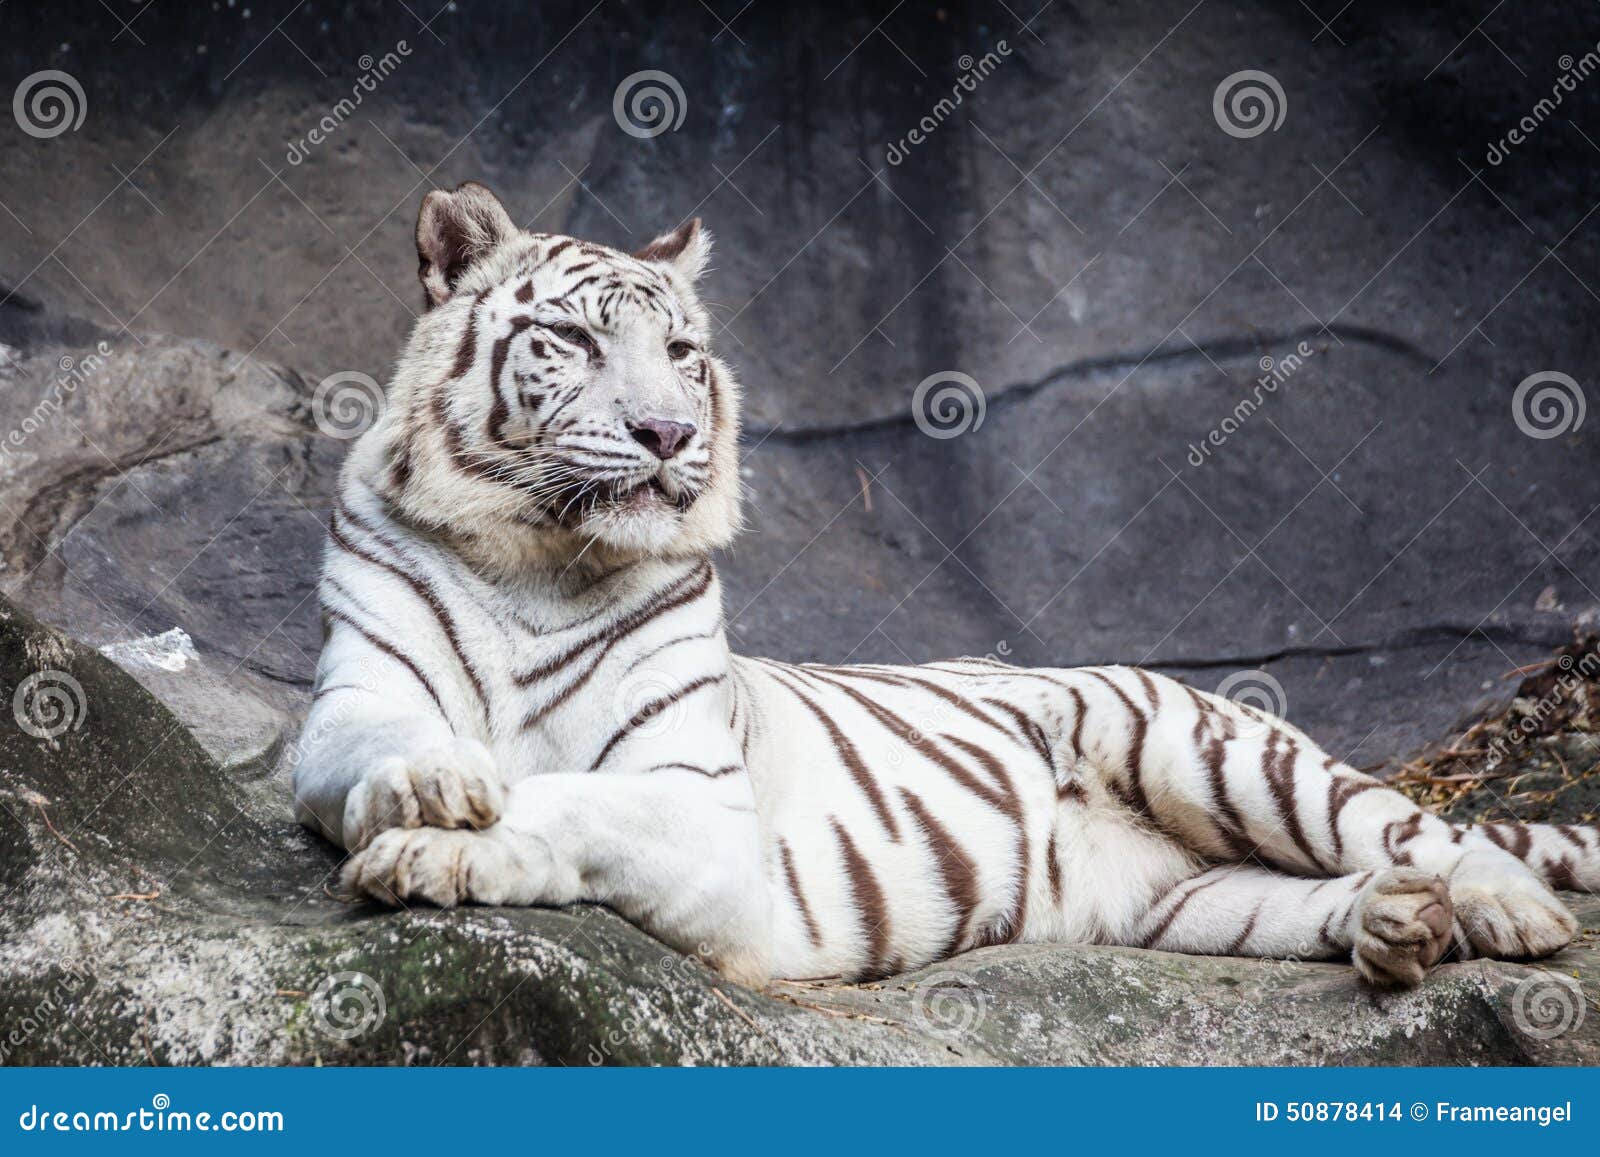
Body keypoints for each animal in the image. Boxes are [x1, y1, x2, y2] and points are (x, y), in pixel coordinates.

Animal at [293, 180, 1598, 992]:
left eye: (680, 352)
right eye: (569, 338)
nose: (669, 434)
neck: (539, 555)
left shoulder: (700, 804)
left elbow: (569, 801)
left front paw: (443, 851)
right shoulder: (348, 702)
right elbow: (384, 749)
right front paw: (428, 792)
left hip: (1215, 748)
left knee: (1421, 828)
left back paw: (1500, 911)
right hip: (1187, 903)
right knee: (1314, 891)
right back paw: (1393, 924)